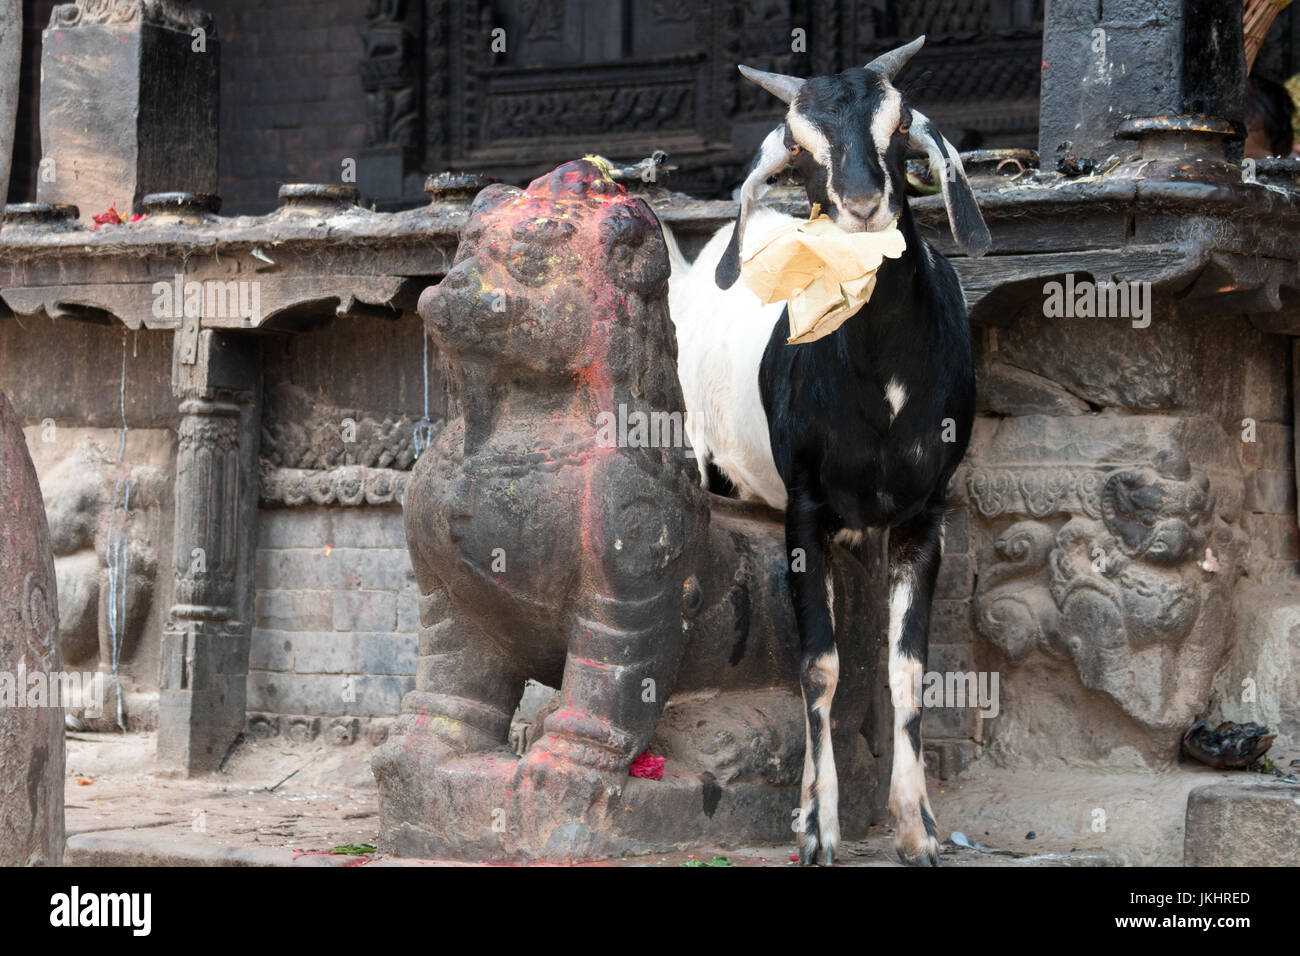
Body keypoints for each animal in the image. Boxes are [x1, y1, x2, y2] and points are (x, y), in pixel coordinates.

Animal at [667, 35, 990, 866]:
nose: (862, 203)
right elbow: (818, 664)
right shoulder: (806, 512)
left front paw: (917, 827)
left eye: (899, 122)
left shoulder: (922, 517)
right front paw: (820, 828)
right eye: (799, 144)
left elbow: (904, 668)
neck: (881, 384)